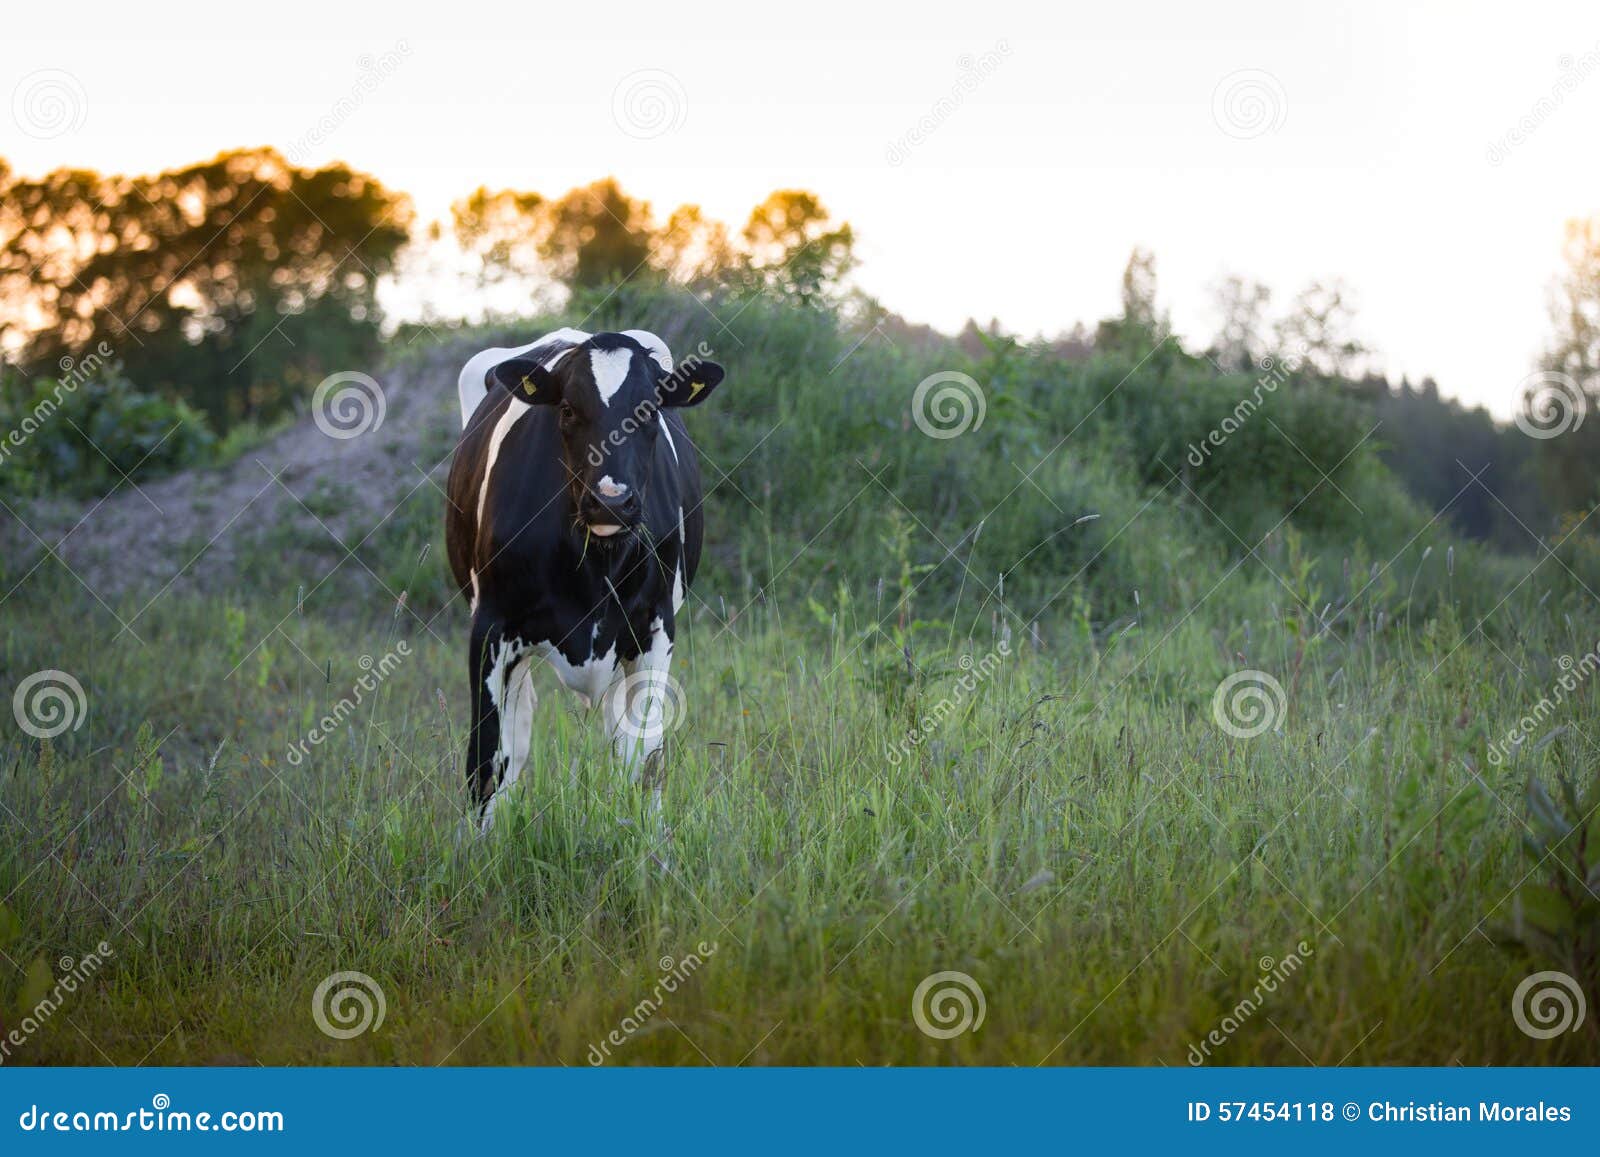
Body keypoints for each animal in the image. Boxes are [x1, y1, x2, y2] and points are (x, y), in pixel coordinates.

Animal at [445, 328, 726, 831]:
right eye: (568, 409)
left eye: (650, 410)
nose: (611, 501)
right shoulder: (489, 627)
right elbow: (487, 756)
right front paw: (479, 846)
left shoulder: (655, 626)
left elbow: (642, 753)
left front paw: (642, 840)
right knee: (518, 732)